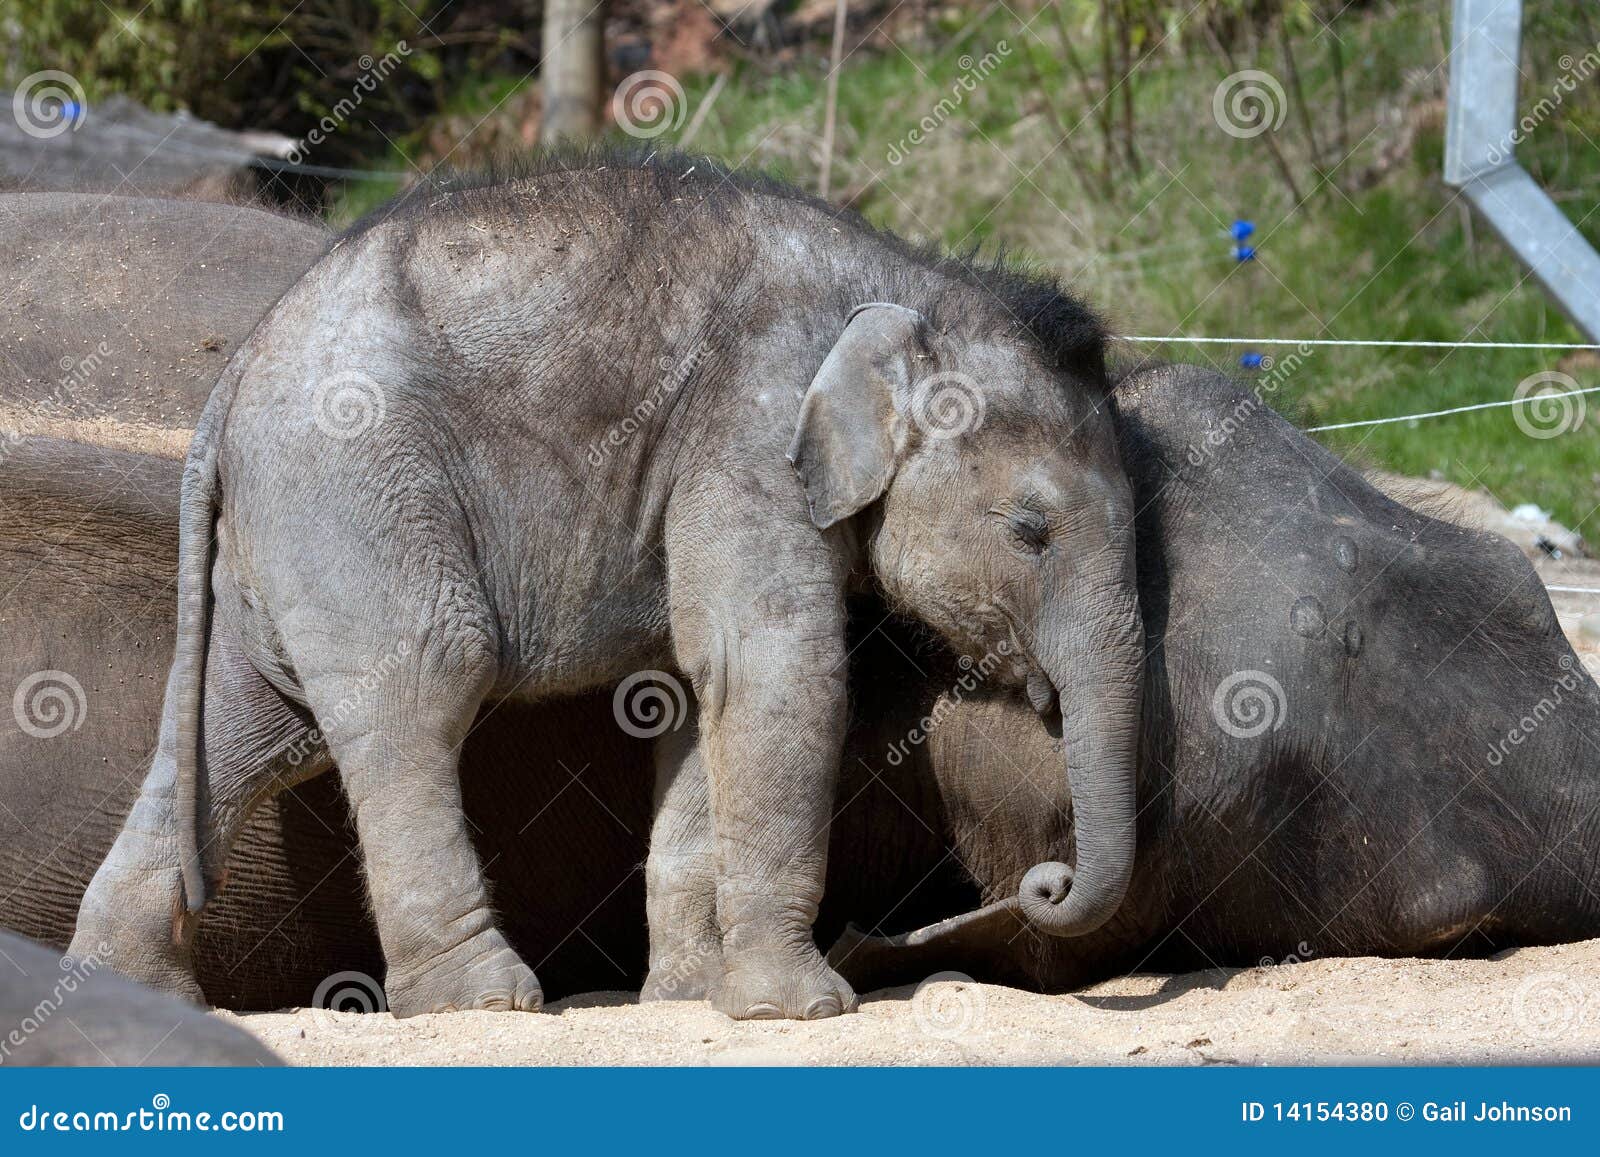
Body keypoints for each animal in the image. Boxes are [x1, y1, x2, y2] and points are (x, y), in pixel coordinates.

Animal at [72, 149, 1145, 1022]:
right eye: (1032, 531)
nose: (1046, 883)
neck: (907, 281)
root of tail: (231, 380)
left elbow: (698, 692)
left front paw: (692, 996)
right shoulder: (745, 431)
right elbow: (772, 668)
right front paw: (800, 1009)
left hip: (280, 544)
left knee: (249, 733)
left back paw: (136, 992)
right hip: (352, 500)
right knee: (419, 686)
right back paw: (484, 1002)